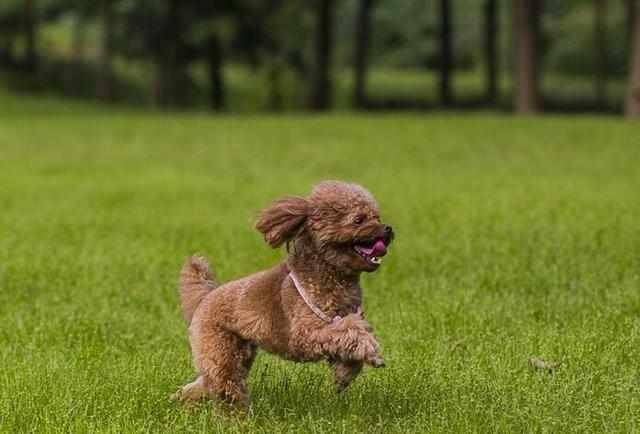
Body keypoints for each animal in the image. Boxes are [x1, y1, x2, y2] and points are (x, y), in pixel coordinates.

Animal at [172, 180, 392, 410]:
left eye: (377, 217)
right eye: (359, 220)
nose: (388, 229)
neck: (331, 277)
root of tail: (206, 296)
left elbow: (350, 343)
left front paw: (345, 375)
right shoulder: (304, 335)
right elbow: (351, 331)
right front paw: (370, 350)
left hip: (237, 352)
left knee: (205, 382)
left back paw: (182, 400)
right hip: (219, 348)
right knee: (226, 384)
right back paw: (236, 415)